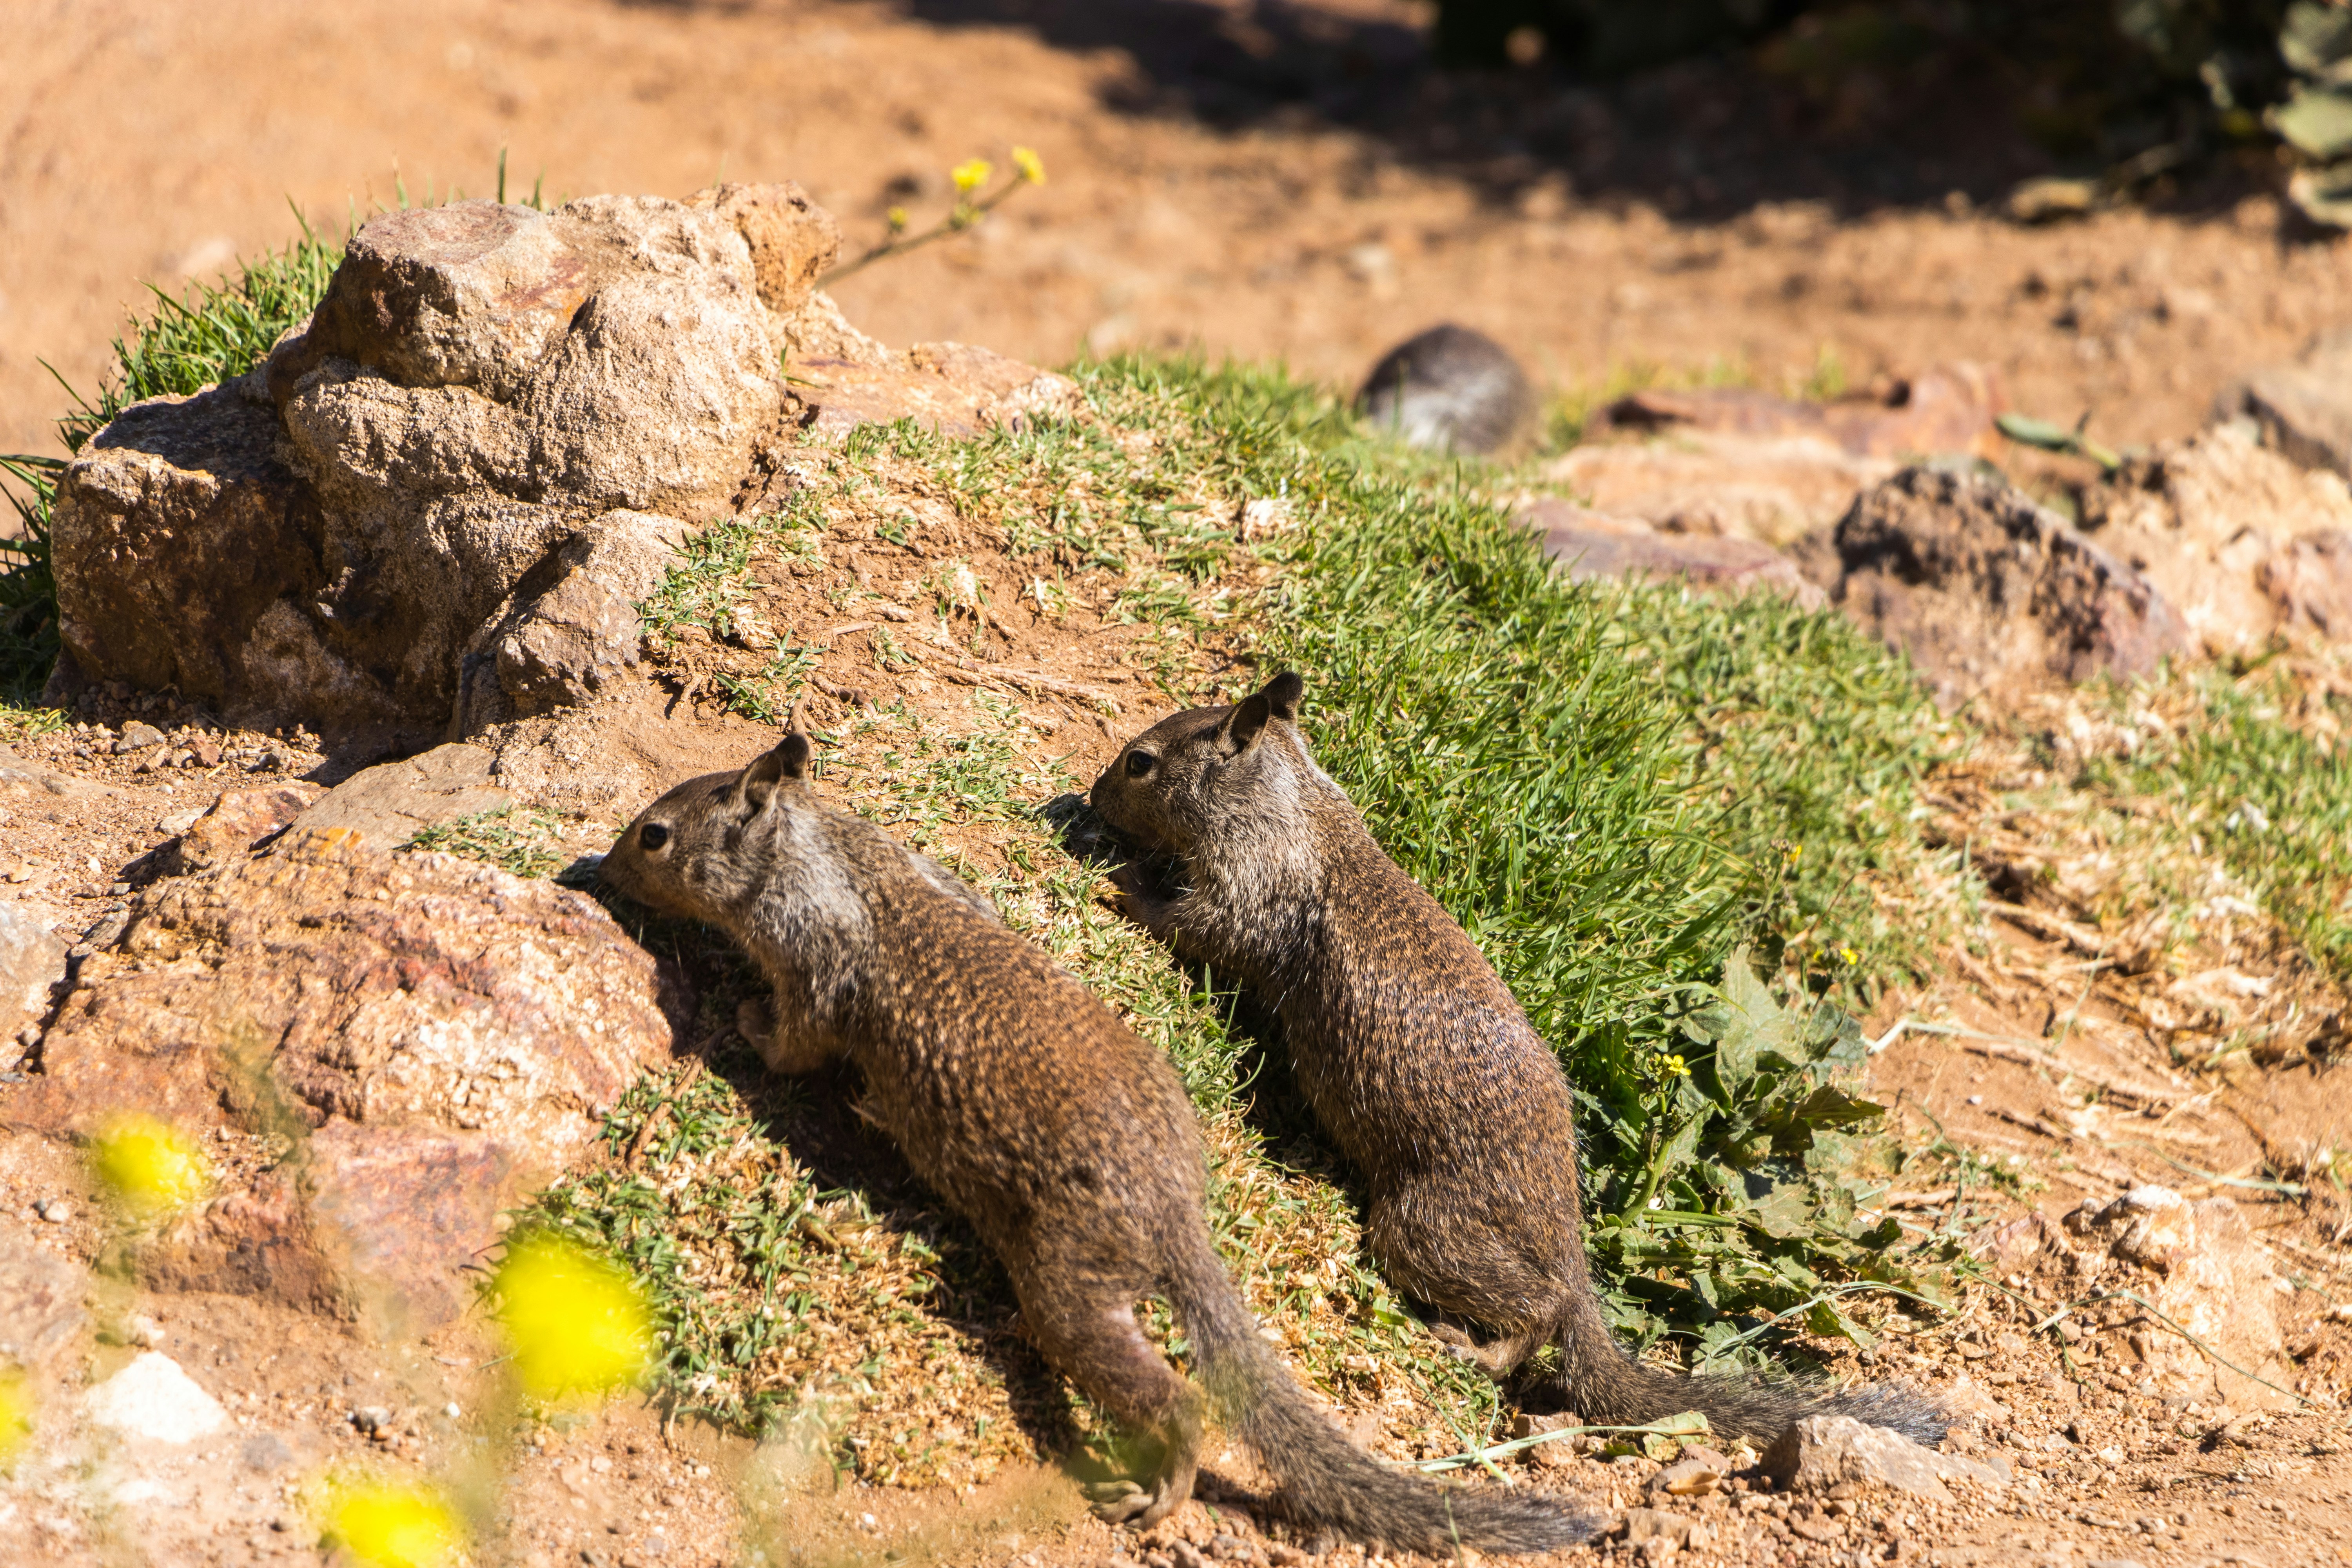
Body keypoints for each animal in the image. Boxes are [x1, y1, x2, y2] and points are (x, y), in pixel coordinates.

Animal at [599, 723, 1597, 1555]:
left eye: (654, 836)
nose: (601, 864)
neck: (823, 852)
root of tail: (1178, 1210)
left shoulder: (814, 969)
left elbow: (798, 1038)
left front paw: (746, 1019)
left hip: (1067, 1287)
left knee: (1179, 1398)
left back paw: (1162, 1492)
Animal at [1088, 673, 1946, 1447]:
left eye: (1140, 763)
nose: (1093, 795)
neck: (1297, 804)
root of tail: (1567, 1238)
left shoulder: (1246, 896)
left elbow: (1194, 923)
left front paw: (1121, 883)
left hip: (1421, 1229)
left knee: (1539, 1313)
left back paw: (1473, 1346)